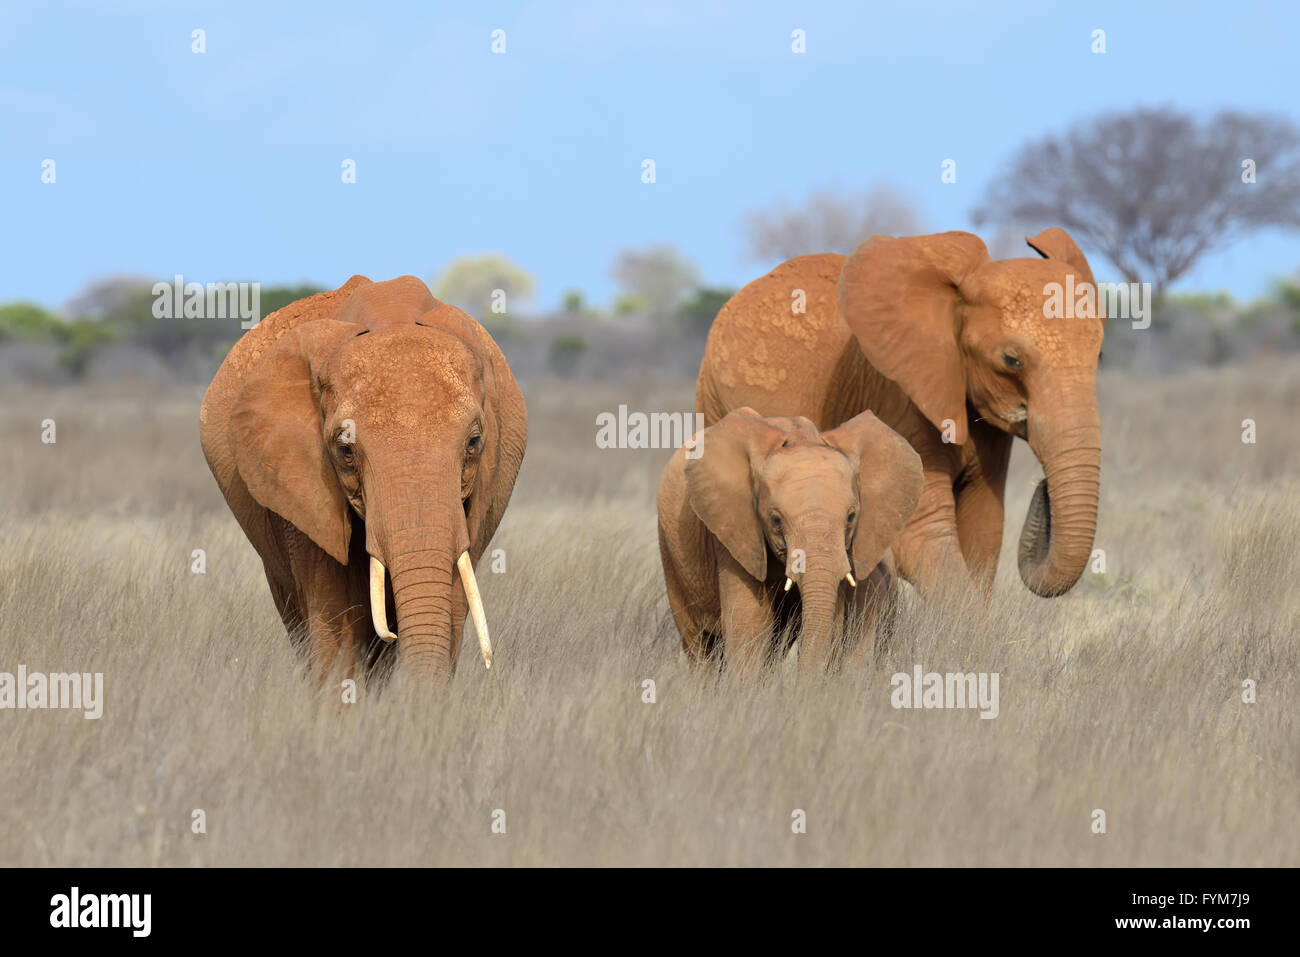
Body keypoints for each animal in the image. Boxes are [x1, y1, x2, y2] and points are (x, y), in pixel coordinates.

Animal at [657, 407, 923, 675]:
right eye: (775, 520)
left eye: (851, 517)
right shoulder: (733, 529)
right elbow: (750, 626)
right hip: (671, 552)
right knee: (699, 644)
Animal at [695, 228, 1104, 598]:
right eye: (1011, 360)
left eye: (1099, 356)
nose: (1042, 487)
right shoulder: (895, 395)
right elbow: (922, 537)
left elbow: (984, 531)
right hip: (712, 401)